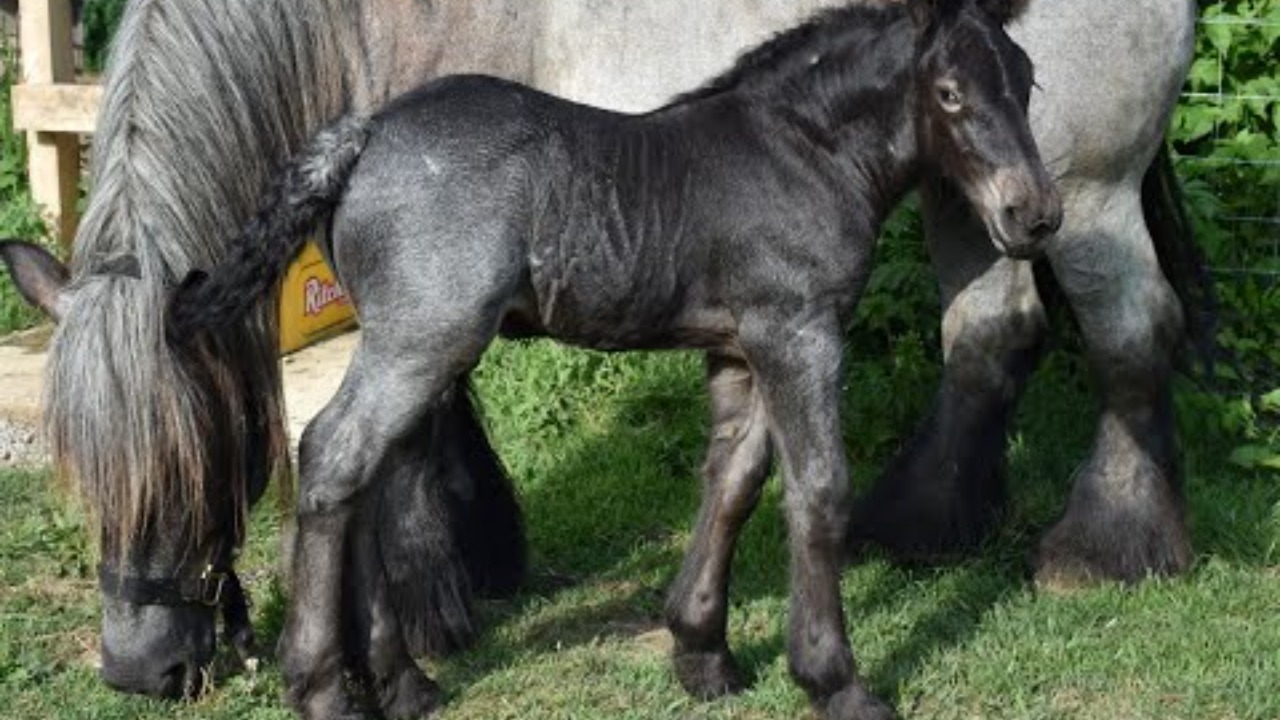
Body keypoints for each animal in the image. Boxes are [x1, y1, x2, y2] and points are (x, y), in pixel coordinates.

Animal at [0, 0, 1203, 704]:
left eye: (1027, 85)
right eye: (949, 93)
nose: (1032, 210)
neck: (790, 147)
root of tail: (359, 135)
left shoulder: (748, 347)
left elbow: (733, 484)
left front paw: (705, 655)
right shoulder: (798, 335)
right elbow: (812, 488)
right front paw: (835, 679)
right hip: (425, 334)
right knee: (340, 458)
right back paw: (334, 685)